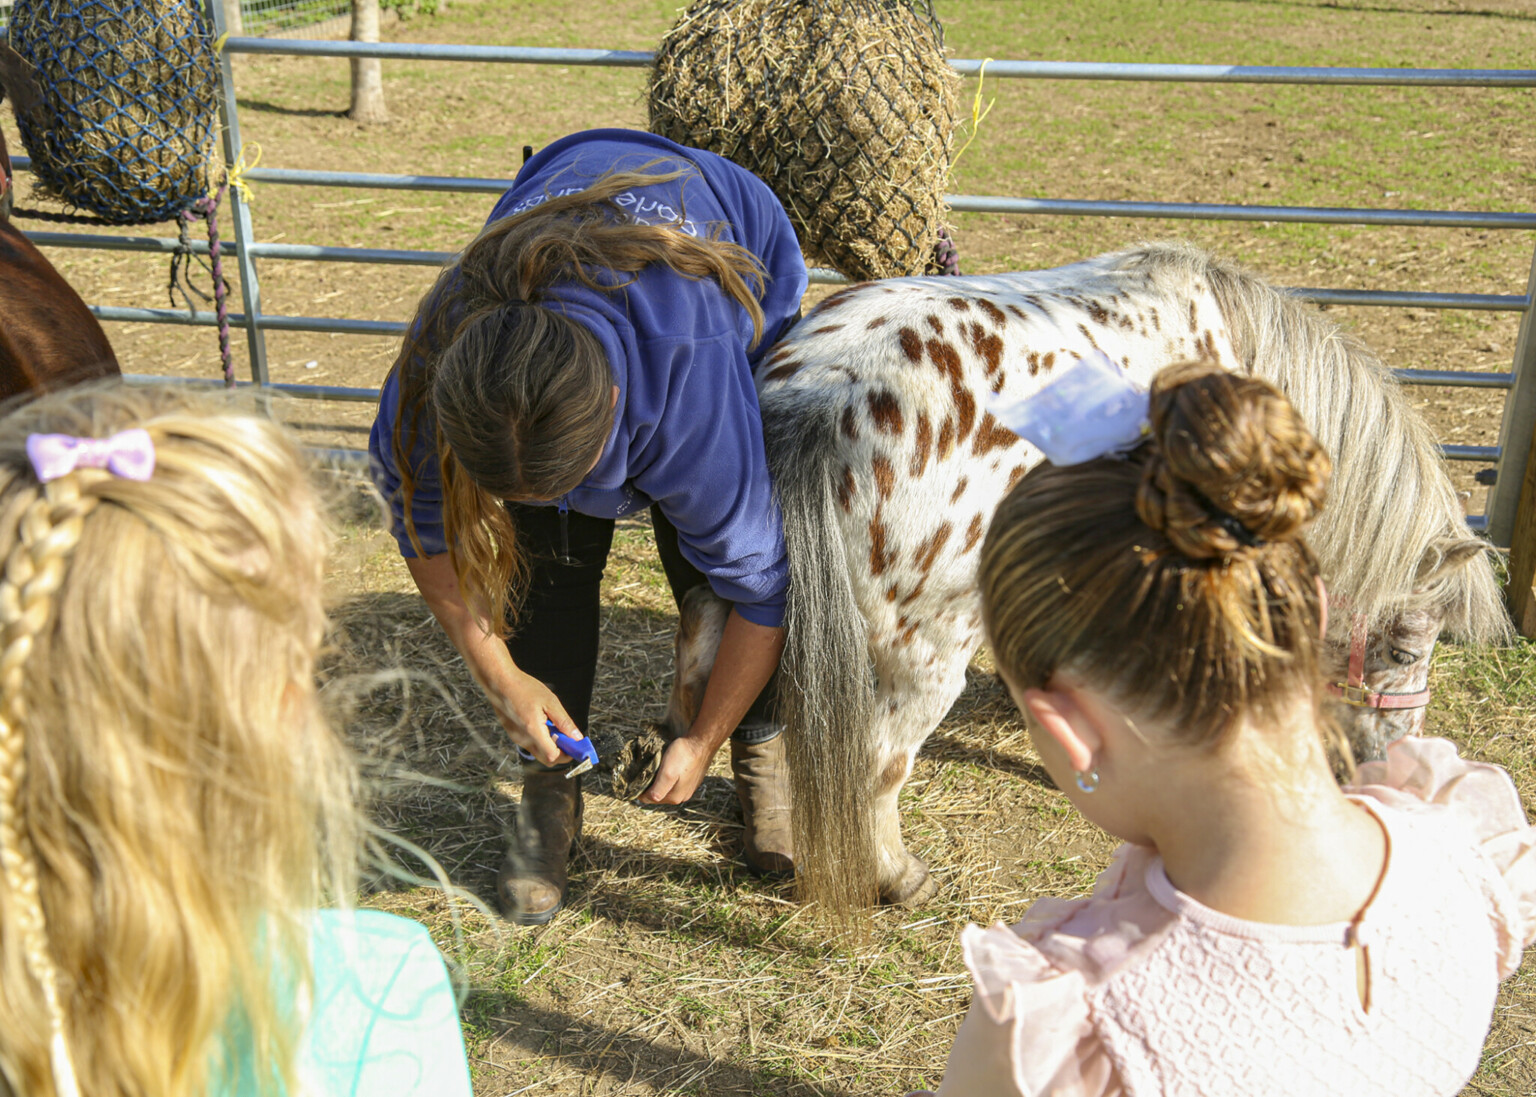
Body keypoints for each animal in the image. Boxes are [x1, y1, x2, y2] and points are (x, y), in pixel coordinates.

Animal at [663, 242, 1512, 916]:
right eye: (1405, 647)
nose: (1383, 759)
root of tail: (824, 394)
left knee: (707, 661)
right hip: (925, 655)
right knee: (879, 766)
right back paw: (898, 878)